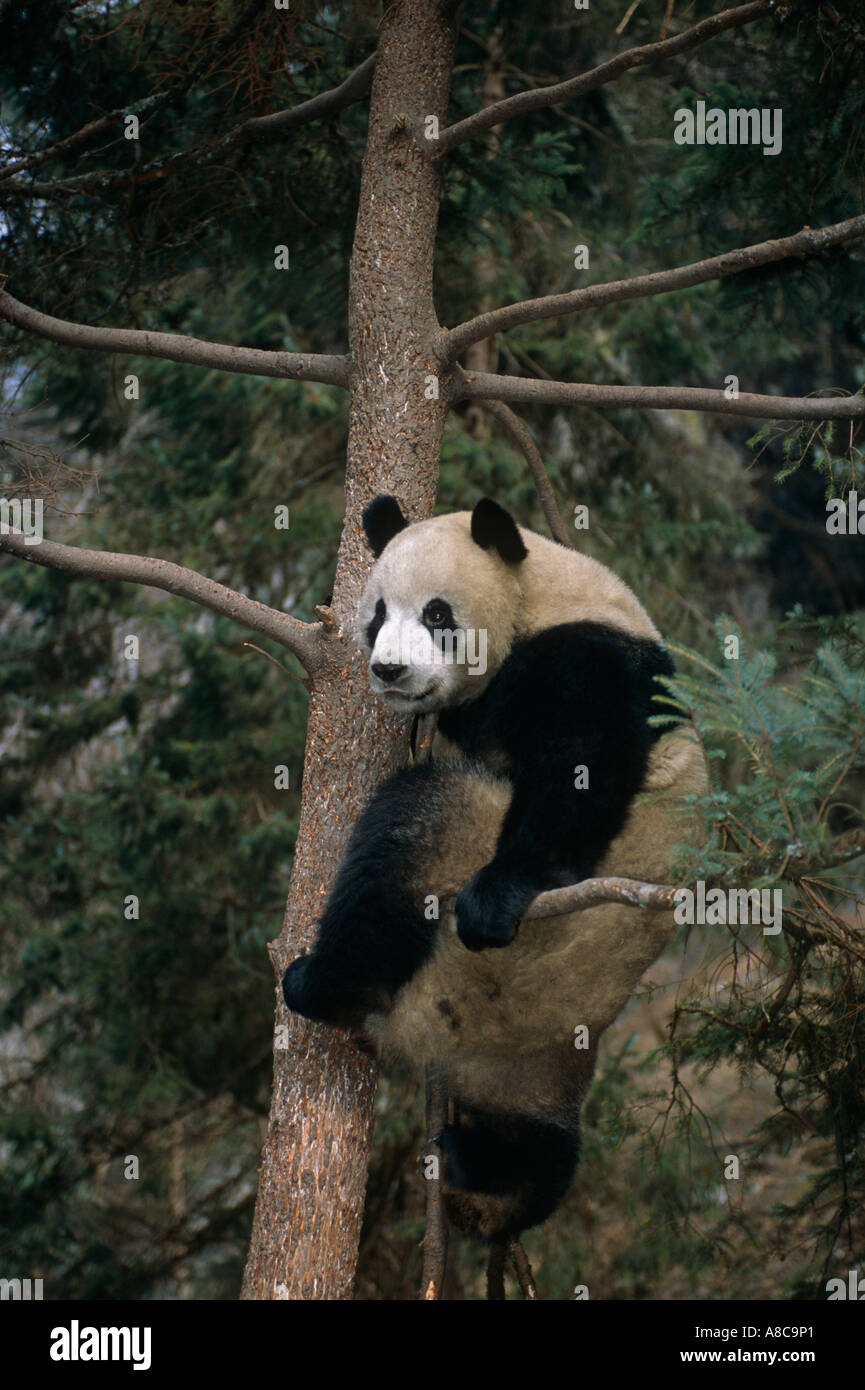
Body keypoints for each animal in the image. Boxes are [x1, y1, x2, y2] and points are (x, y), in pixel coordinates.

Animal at [282, 495, 706, 1241]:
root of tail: (431, 1025)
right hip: (537, 1054)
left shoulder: (585, 659)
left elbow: (577, 768)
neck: (535, 594)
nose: (389, 671)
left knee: (410, 835)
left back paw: (326, 980)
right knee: (539, 1139)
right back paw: (493, 1184)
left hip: (490, 875)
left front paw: (504, 891)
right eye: (376, 614)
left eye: (436, 615)